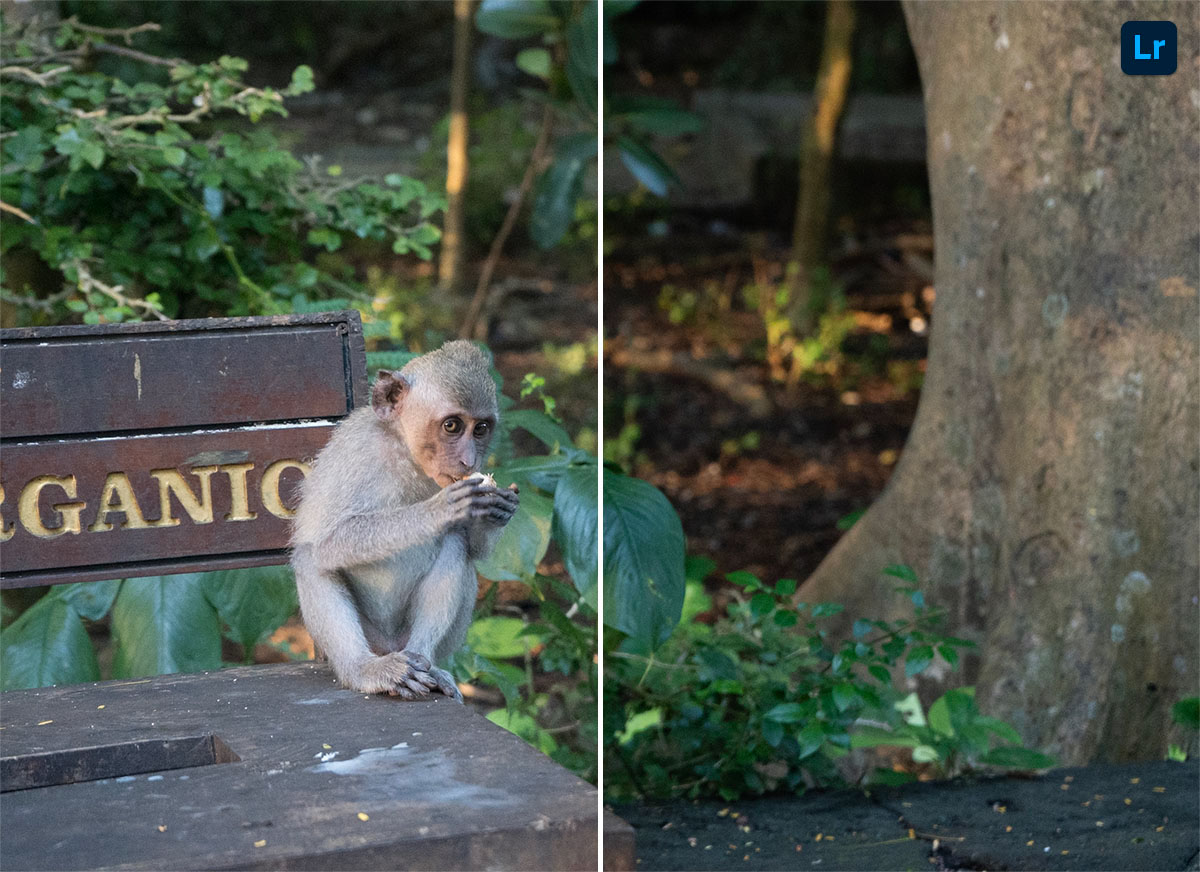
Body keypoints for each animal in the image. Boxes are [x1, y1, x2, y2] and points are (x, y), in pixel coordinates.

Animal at [290, 341, 520, 702]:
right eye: (452, 426)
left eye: (480, 428)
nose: (469, 460)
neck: (405, 452)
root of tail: (388, 647)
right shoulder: (355, 454)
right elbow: (329, 542)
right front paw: (440, 510)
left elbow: (474, 549)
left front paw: (499, 510)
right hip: (368, 639)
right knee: (310, 559)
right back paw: (365, 670)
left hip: (410, 639)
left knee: (455, 544)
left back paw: (426, 660)